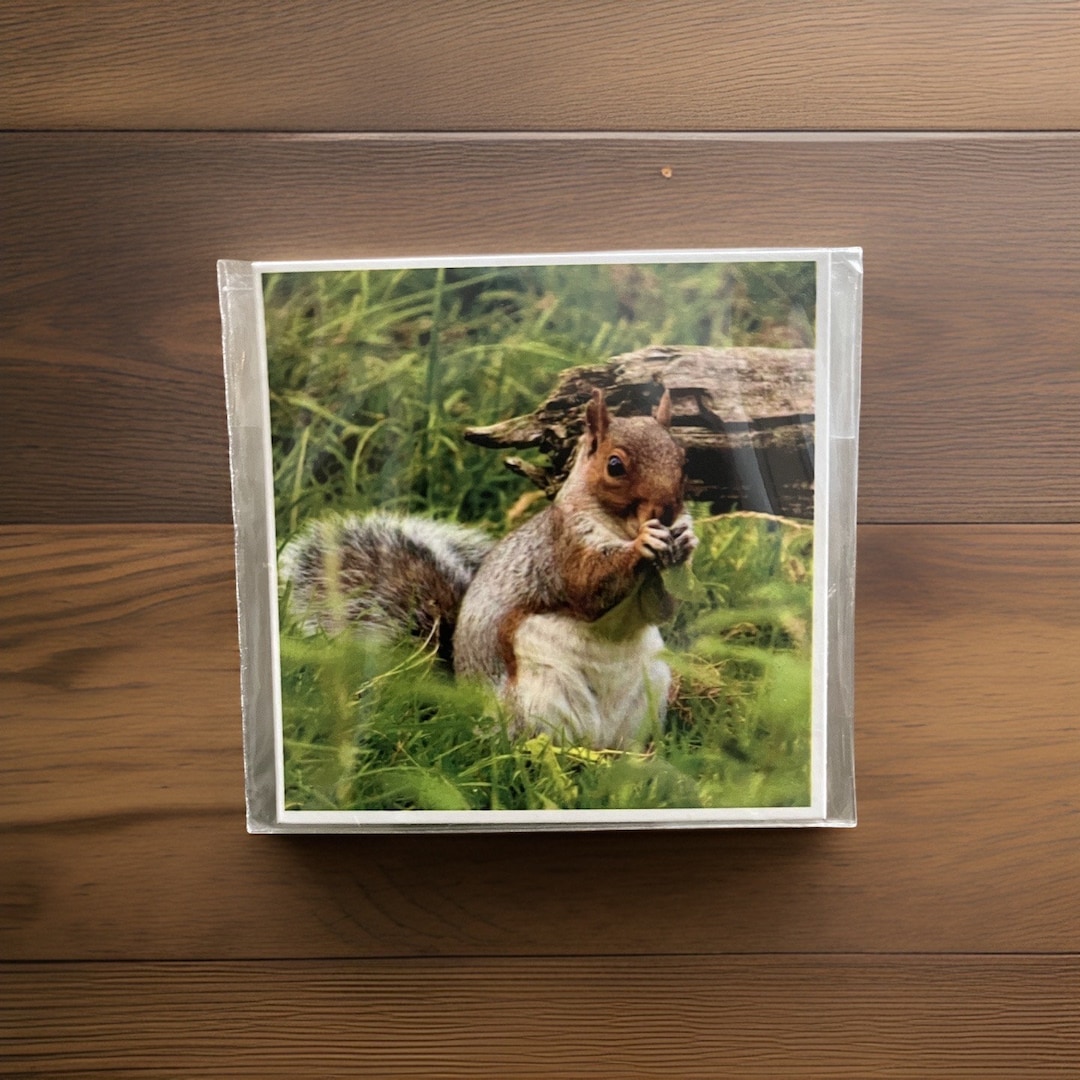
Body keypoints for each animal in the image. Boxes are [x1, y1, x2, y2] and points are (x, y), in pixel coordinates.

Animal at [280, 388, 697, 749]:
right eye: (615, 466)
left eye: (683, 459)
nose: (667, 512)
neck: (618, 527)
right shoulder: (560, 552)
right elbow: (590, 587)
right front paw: (644, 545)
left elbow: (661, 609)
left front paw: (686, 540)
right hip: (543, 695)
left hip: (650, 688)